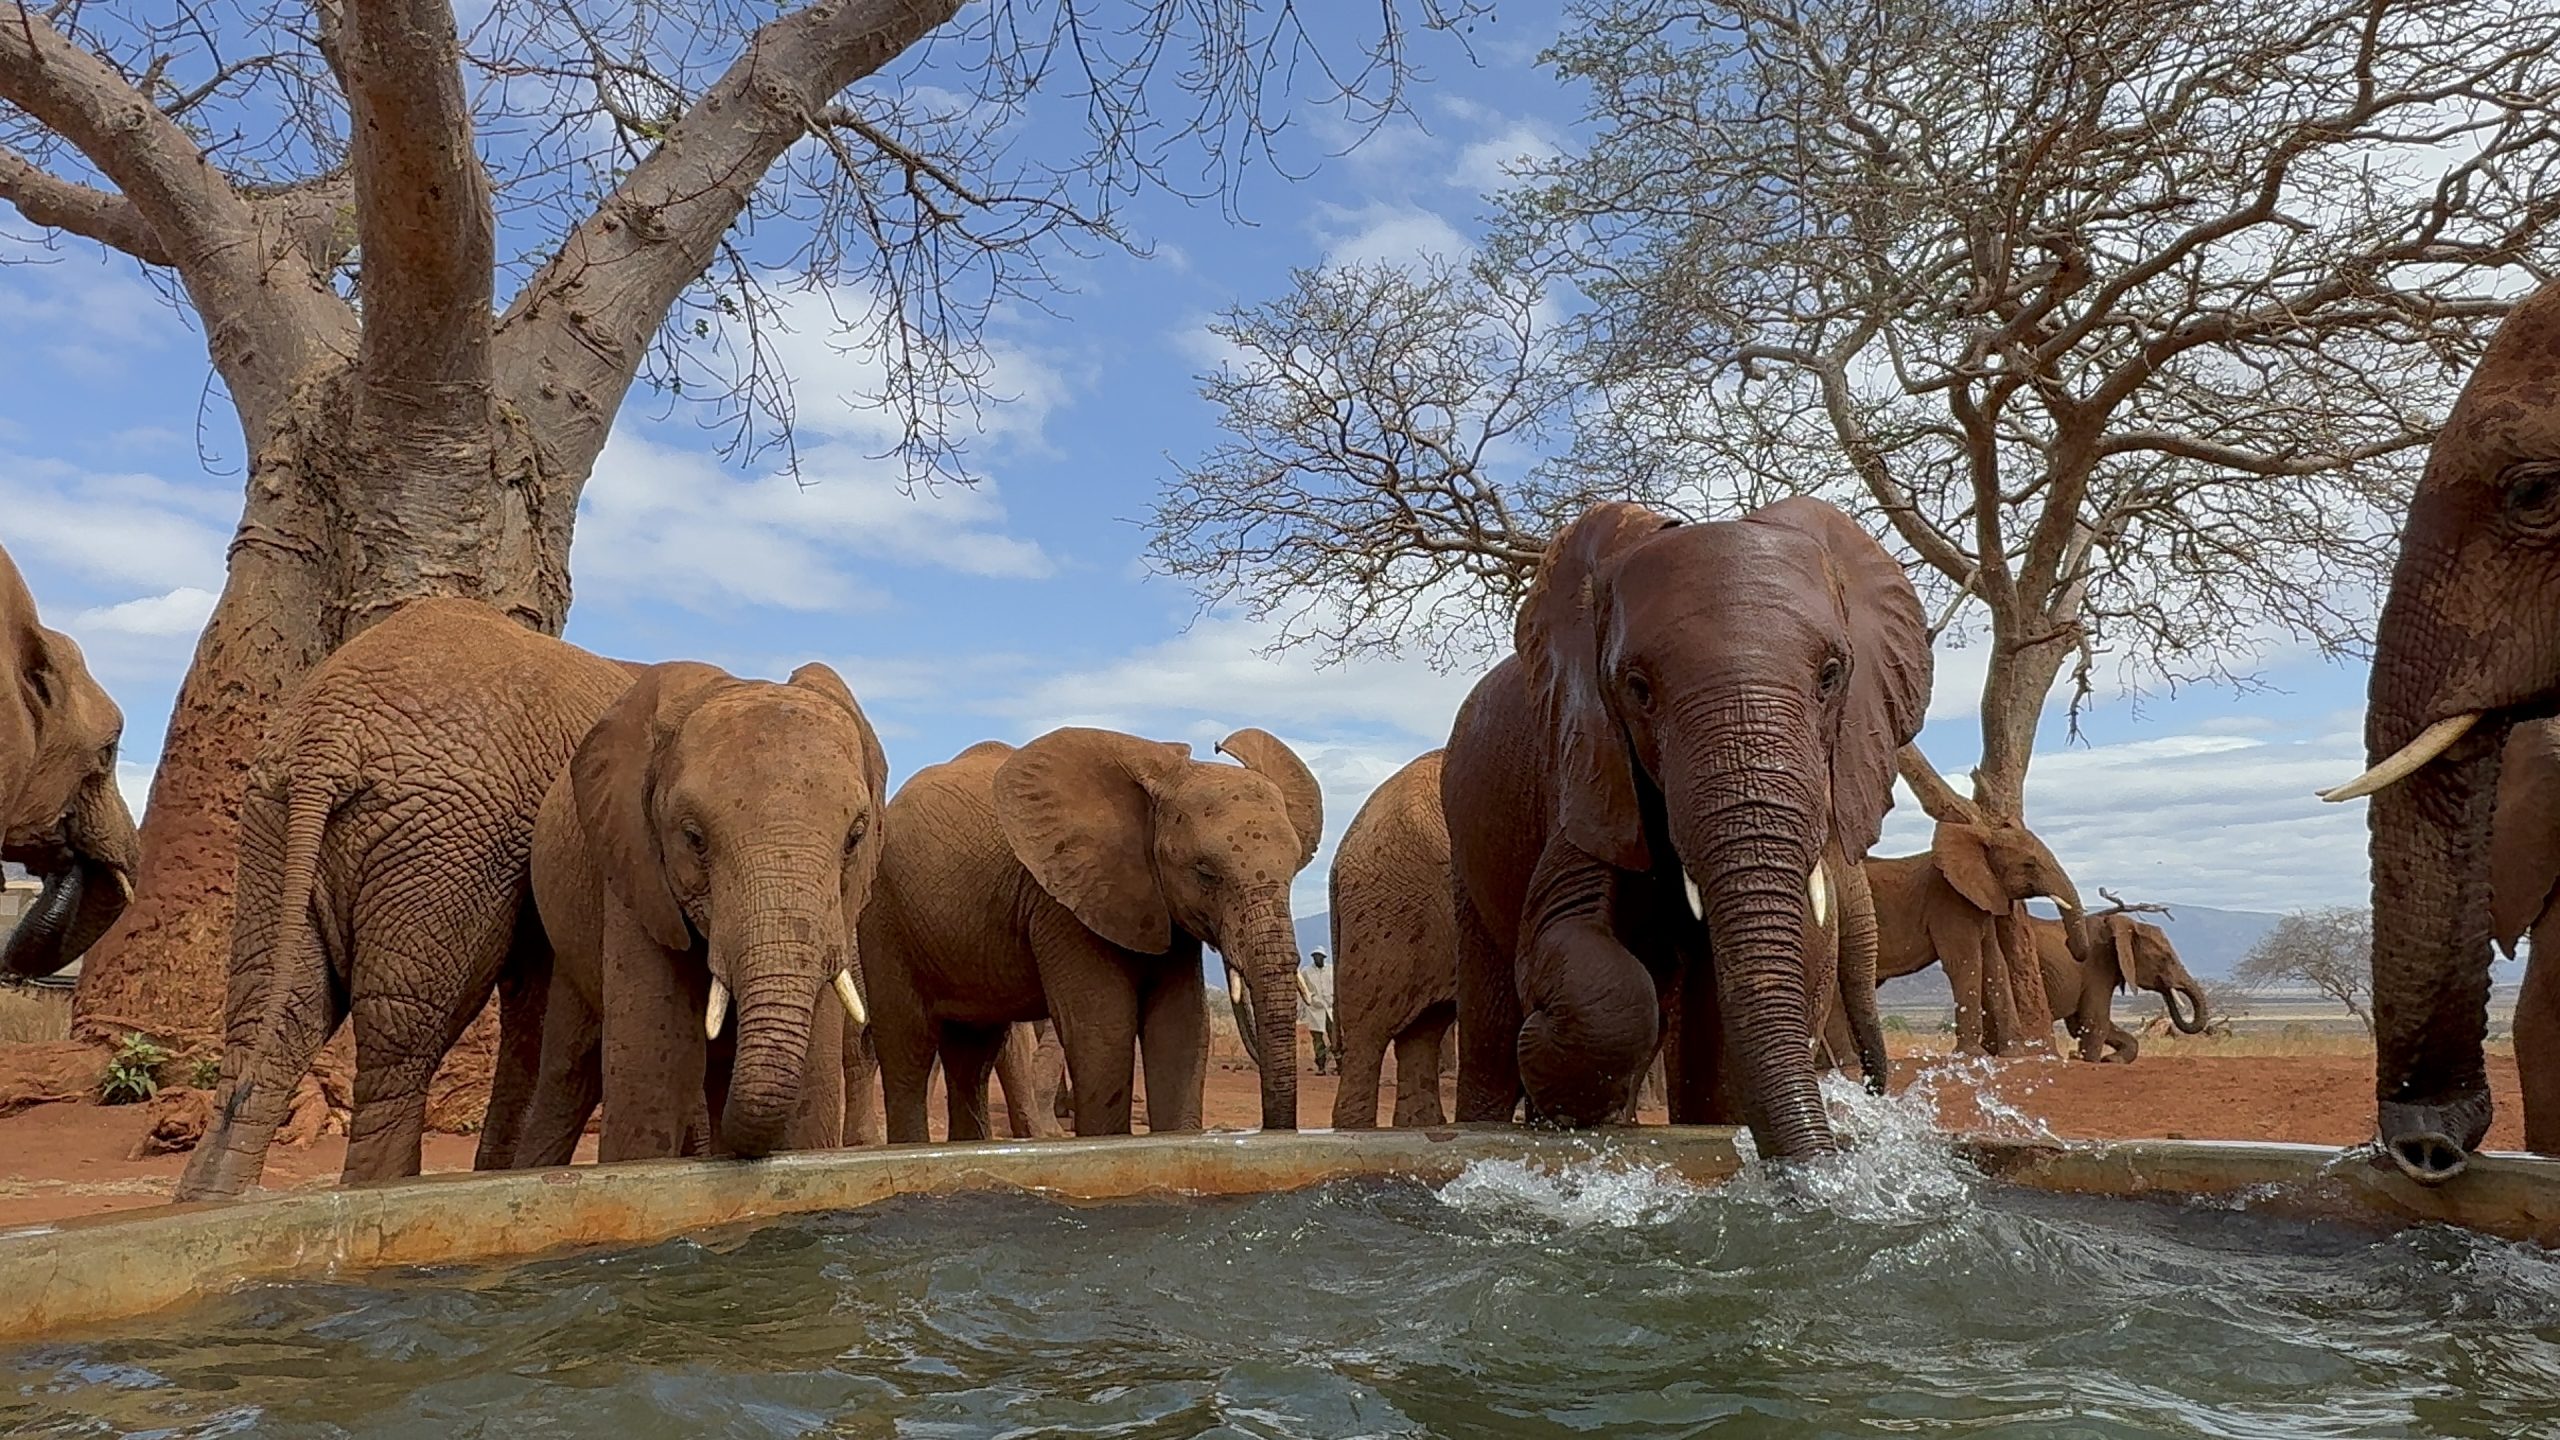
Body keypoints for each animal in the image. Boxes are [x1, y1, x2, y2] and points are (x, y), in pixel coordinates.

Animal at [177, 599, 633, 1201]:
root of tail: (328, 734)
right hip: (445, 835)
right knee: (402, 1028)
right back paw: (381, 1189)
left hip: (281, 821)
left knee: (273, 1013)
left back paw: (206, 1202)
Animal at [503, 661, 886, 1165]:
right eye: (693, 838)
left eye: (855, 837)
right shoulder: (634, 864)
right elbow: (654, 1073)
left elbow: (813, 1084)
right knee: (569, 1075)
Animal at [861, 727, 1322, 1140]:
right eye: (1205, 872)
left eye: (1294, 870)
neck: (1167, 780)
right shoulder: (1064, 900)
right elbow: (1103, 1026)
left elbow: (1182, 1026)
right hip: (885, 915)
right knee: (908, 1047)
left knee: (972, 1055)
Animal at [1444, 497, 1931, 1156]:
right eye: (1637, 690)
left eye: (1831, 676)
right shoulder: (1584, 763)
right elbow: (1570, 940)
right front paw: (1547, 1071)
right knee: (1491, 1014)